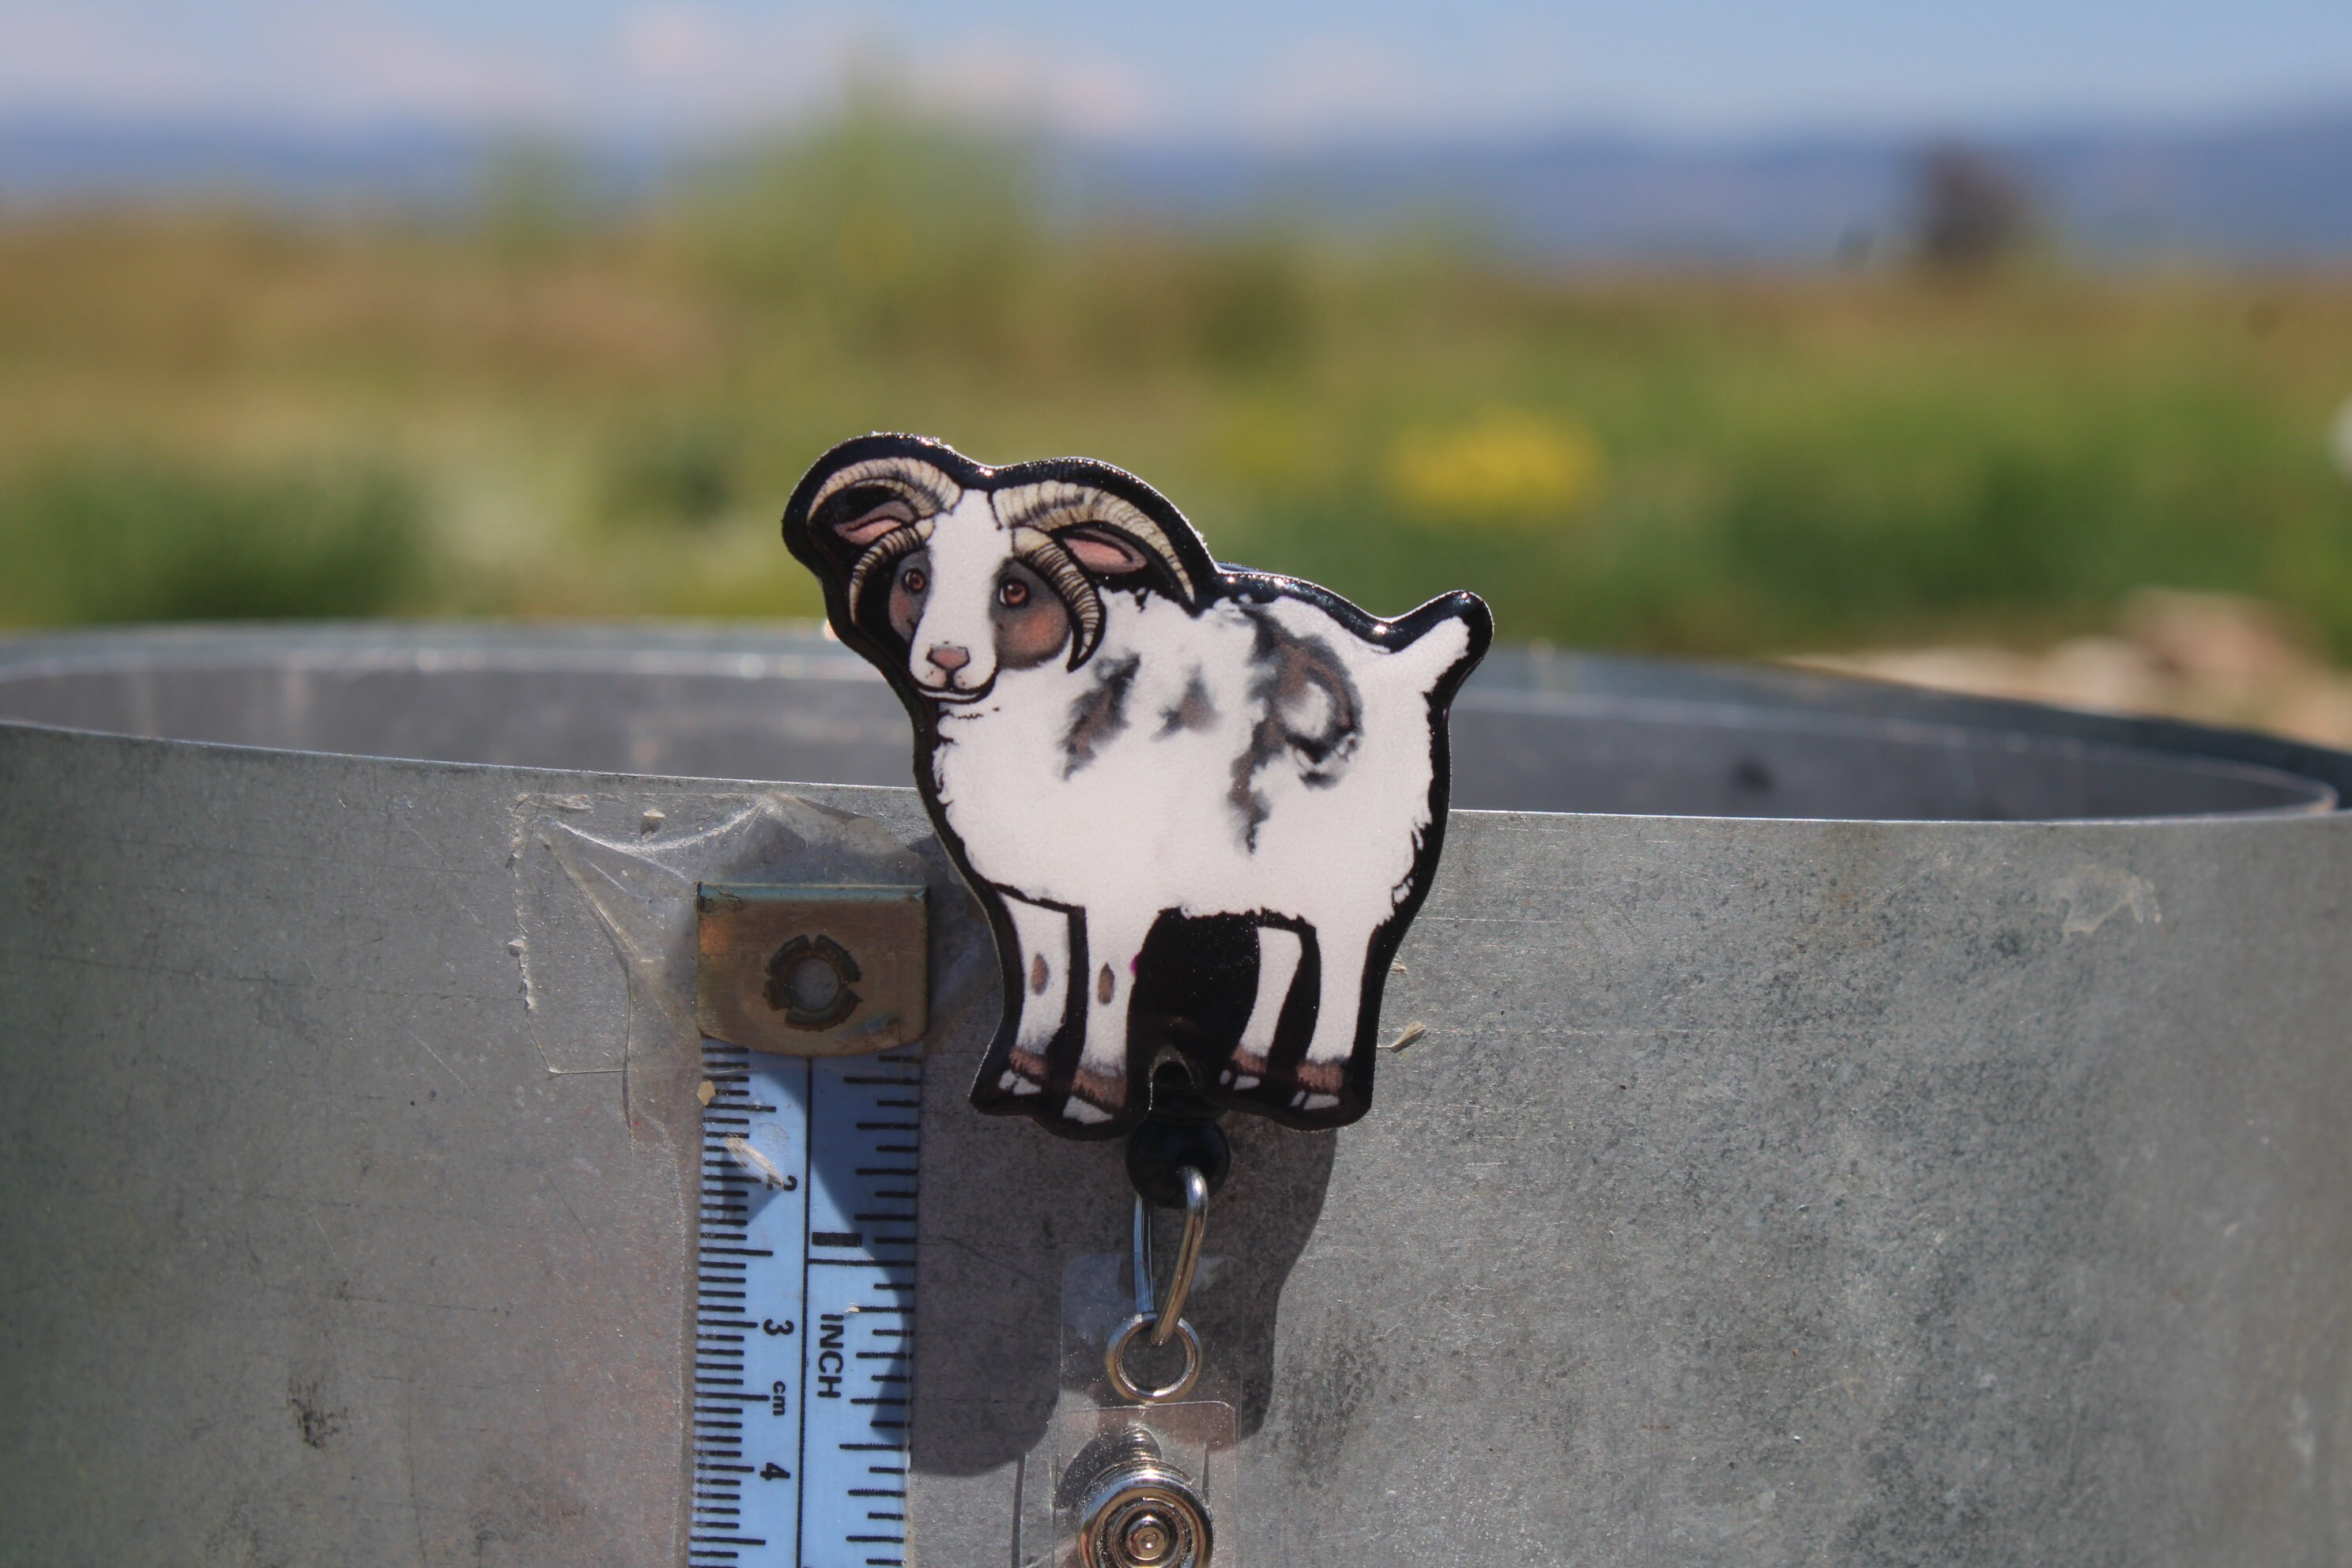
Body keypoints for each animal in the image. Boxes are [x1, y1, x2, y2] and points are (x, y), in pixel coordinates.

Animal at [785, 433, 1490, 1136]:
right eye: (916, 578)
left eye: (1014, 590)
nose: (946, 661)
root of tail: (1407, 660)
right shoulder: (1028, 896)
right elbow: (1041, 978)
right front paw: (1020, 1079)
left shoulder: (1117, 897)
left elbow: (1101, 985)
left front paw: (1091, 1097)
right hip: (1265, 863)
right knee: (1282, 950)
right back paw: (1245, 1069)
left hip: (1358, 869)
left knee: (1345, 962)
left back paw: (1316, 1087)